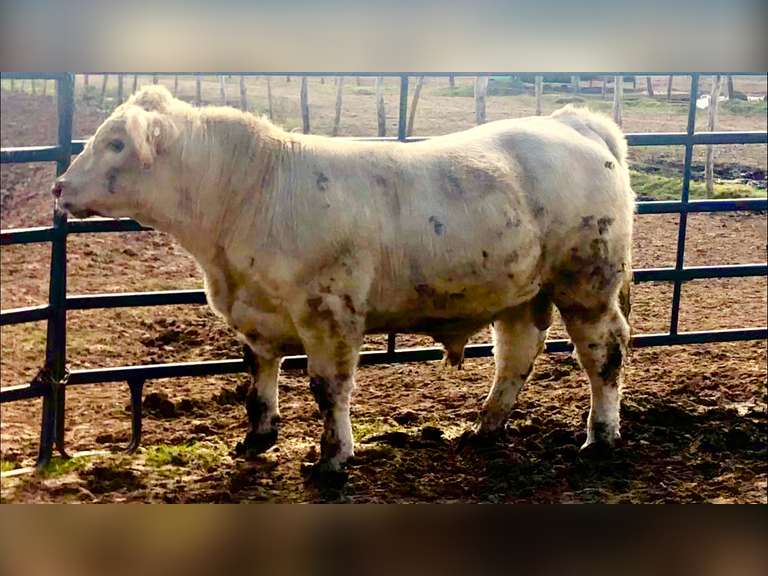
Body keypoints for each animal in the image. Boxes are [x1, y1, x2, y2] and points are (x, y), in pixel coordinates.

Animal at [52, 85, 633, 475]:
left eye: (117, 143)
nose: (58, 186)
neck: (251, 191)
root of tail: (571, 121)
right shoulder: (257, 314)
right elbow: (257, 379)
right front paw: (257, 439)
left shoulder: (328, 313)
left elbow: (328, 387)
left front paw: (332, 458)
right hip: (521, 290)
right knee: (516, 353)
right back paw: (485, 428)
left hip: (587, 282)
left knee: (603, 352)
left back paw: (600, 436)